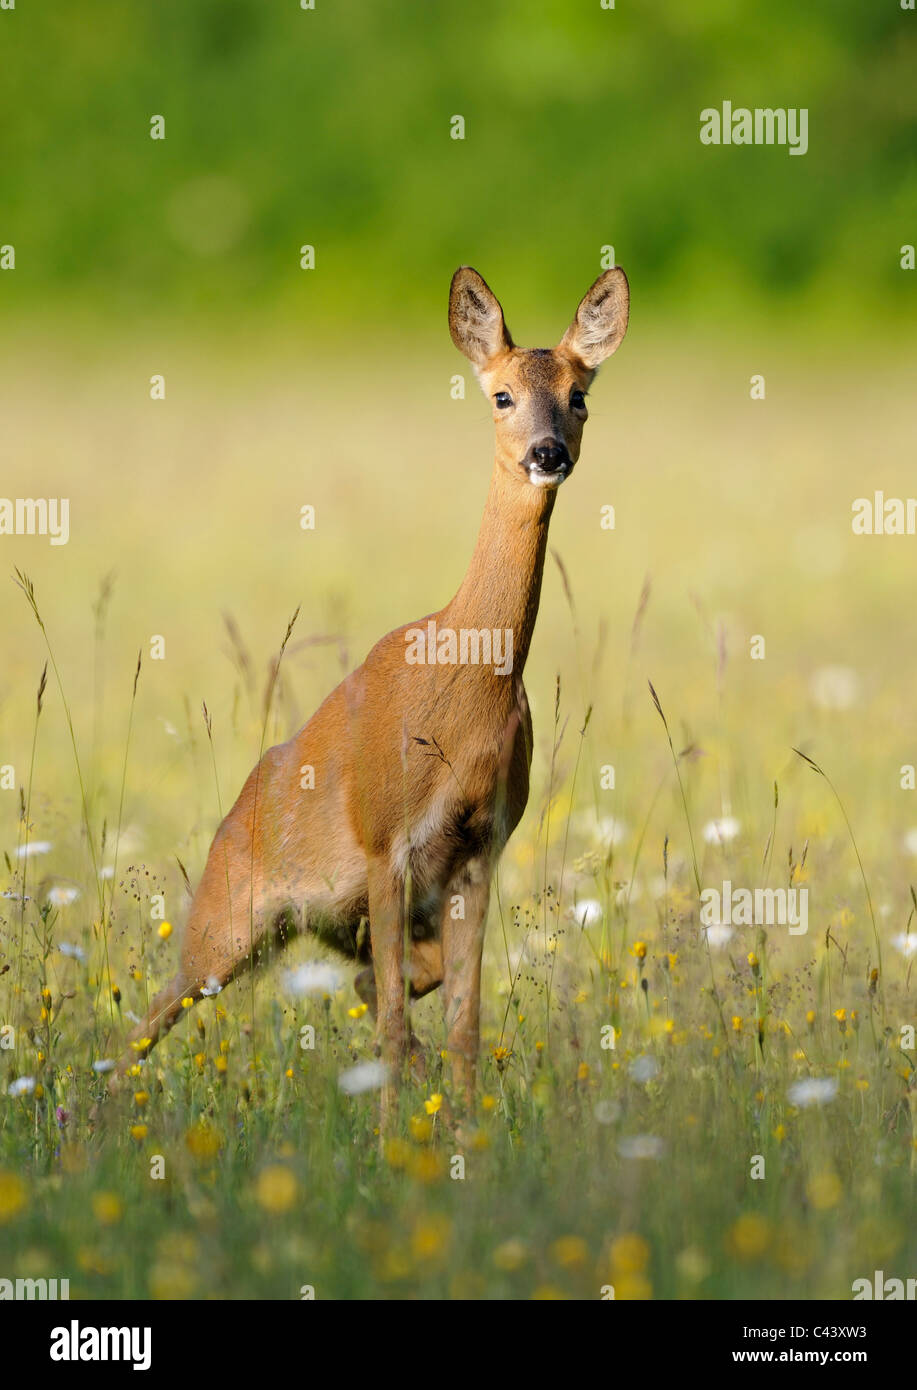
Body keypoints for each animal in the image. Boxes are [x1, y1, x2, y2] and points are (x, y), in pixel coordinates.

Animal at [115, 265, 629, 1115]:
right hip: (223, 924)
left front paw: (463, 1132)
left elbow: (461, 1024)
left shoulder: (479, 850)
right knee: (143, 1019)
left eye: (579, 395)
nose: (548, 451)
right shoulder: (387, 841)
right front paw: (398, 1139)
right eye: (500, 396)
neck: (464, 685)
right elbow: (392, 1023)